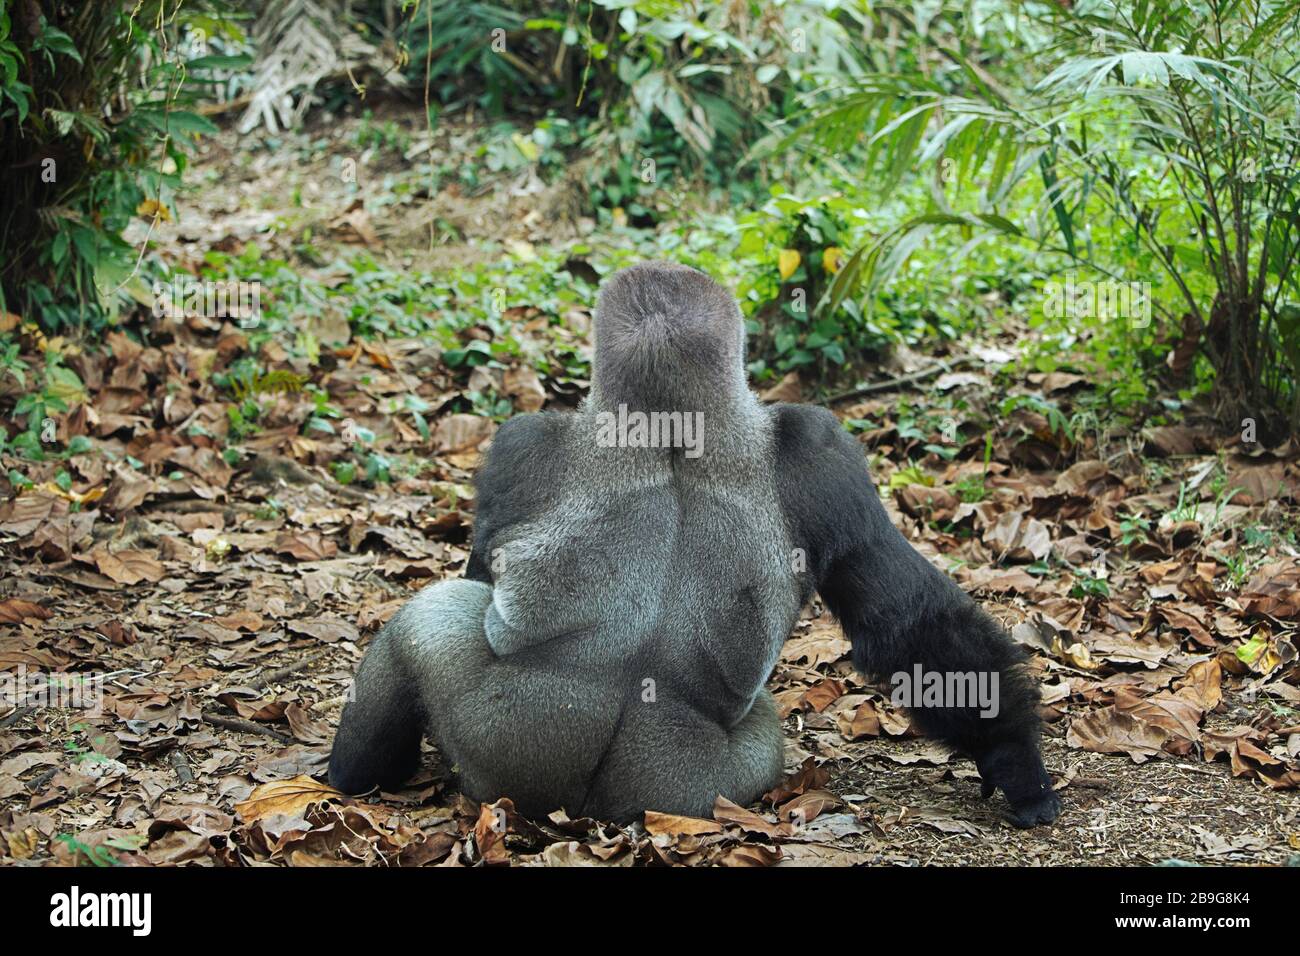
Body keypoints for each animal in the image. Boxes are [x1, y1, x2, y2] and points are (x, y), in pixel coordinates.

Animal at [329, 261, 1062, 829]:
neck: (673, 423)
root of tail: (587, 809)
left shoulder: (520, 441)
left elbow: (908, 621)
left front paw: (1015, 760)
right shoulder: (824, 452)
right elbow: (907, 621)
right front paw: (1017, 761)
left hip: (657, 780)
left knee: (424, 622)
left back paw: (352, 777)